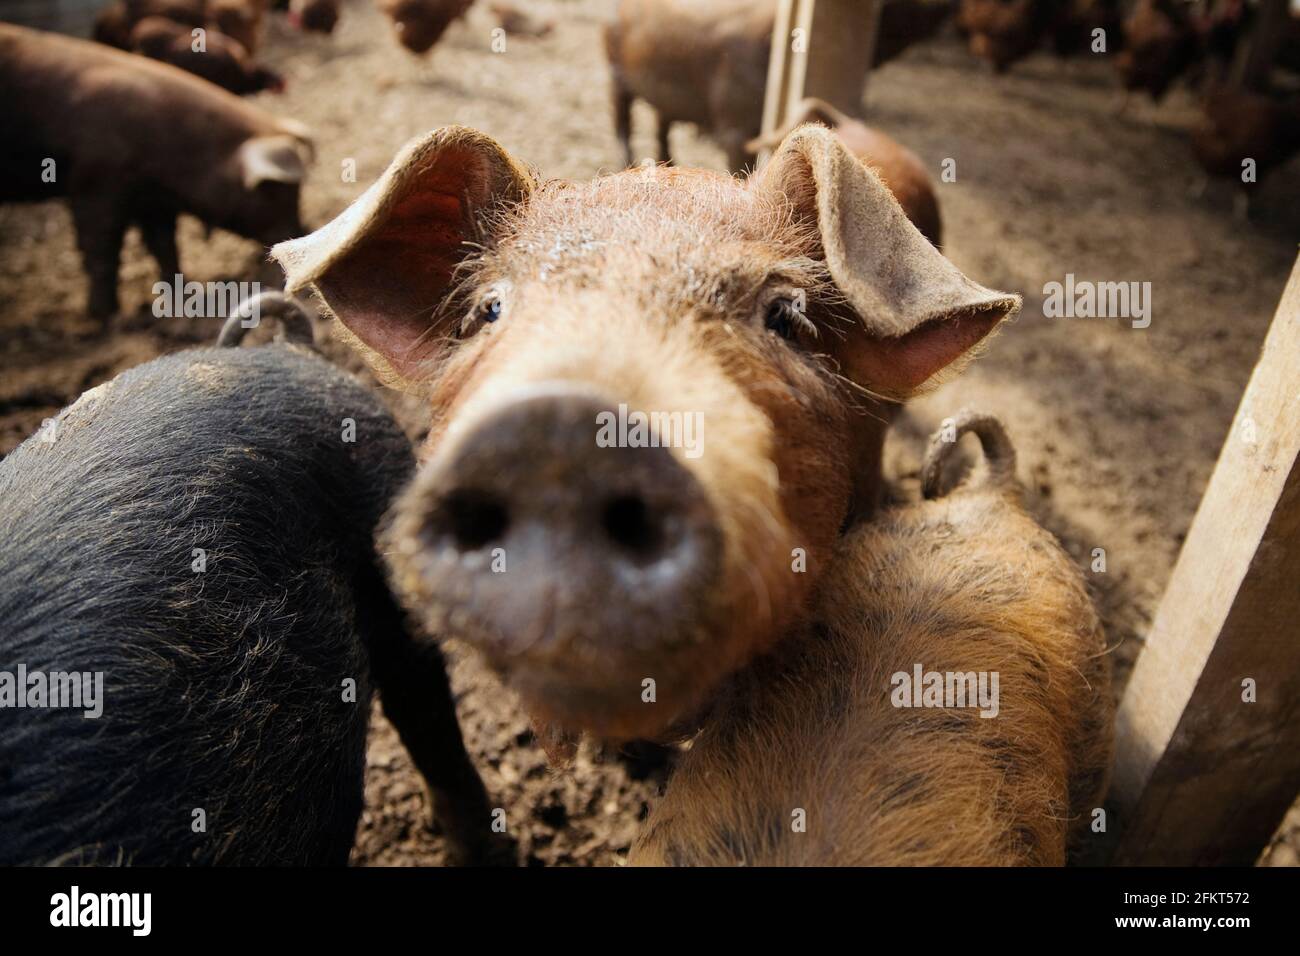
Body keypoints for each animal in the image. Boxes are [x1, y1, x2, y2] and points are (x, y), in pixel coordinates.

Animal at [605, 0, 952, 173]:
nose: (943, 11)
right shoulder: (735, 129)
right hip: (614, 69)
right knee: (622, 116)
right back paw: (627, 163)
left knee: (662, 122)